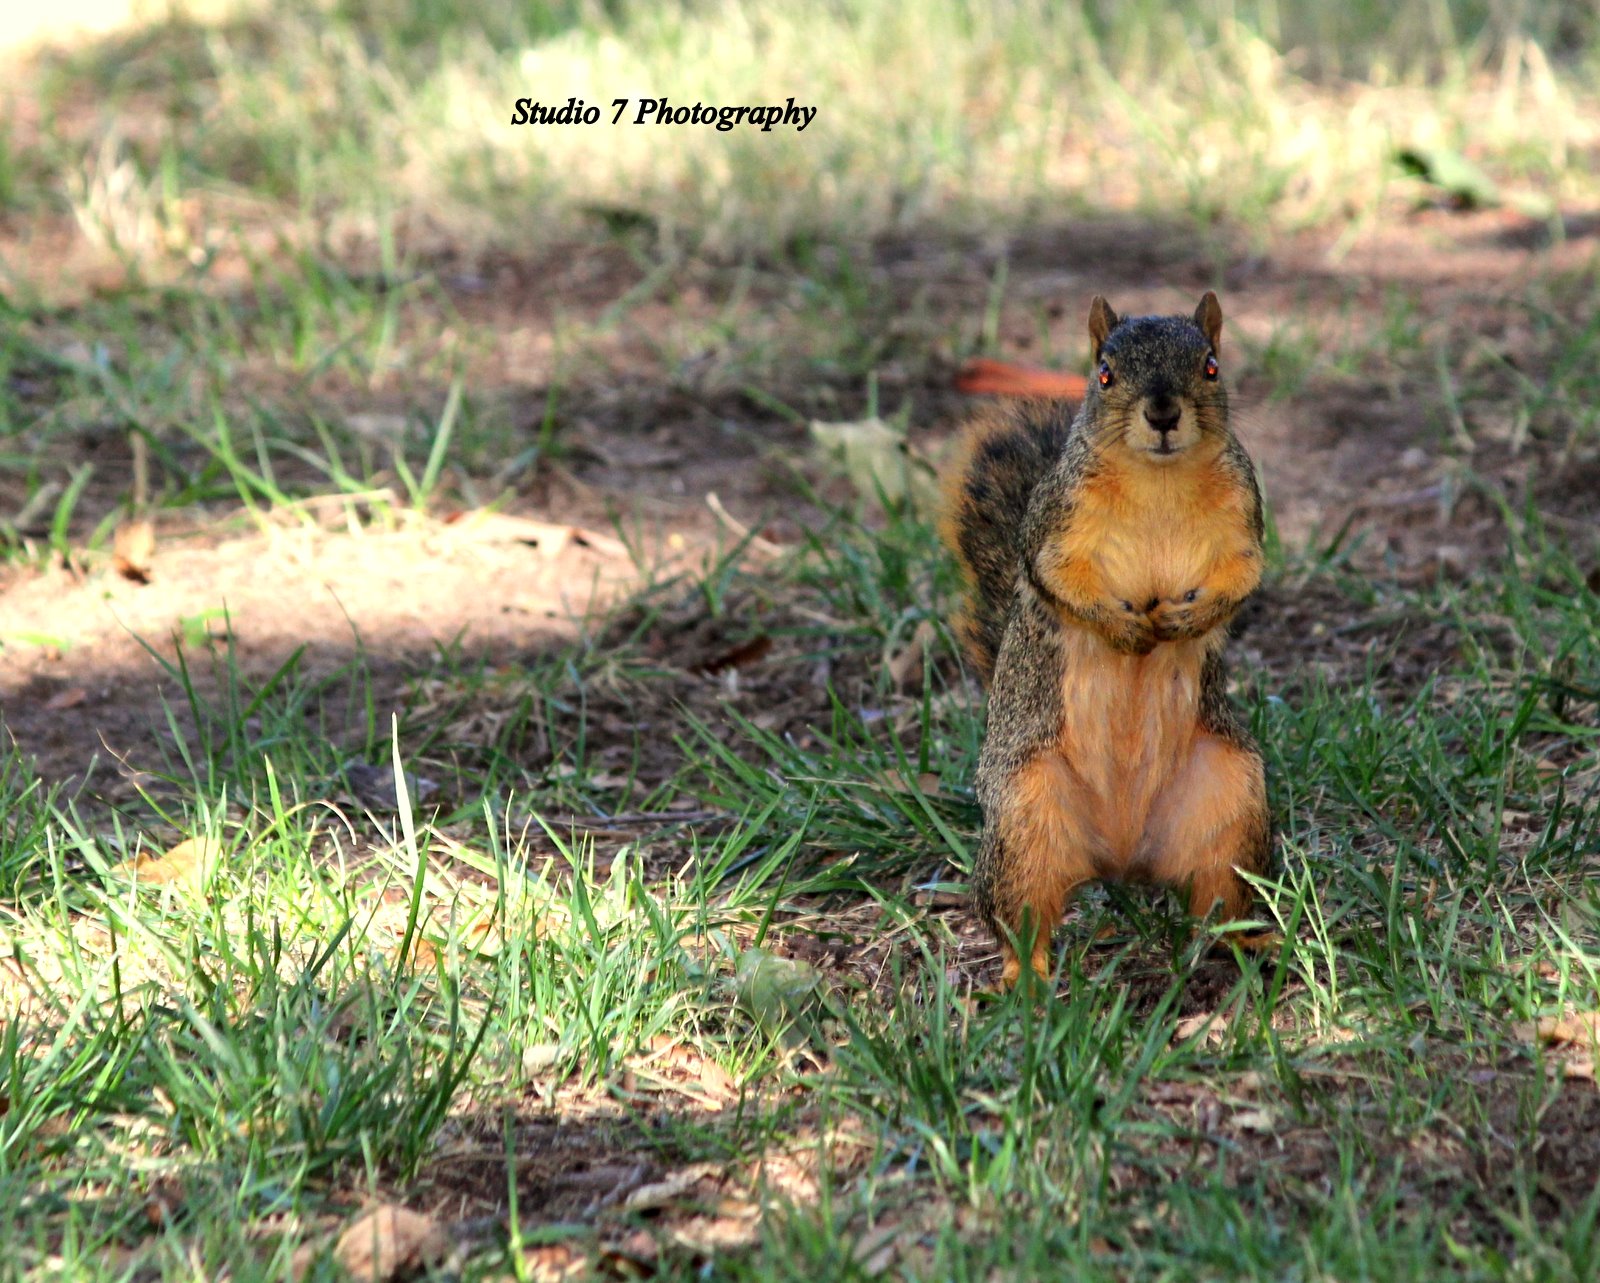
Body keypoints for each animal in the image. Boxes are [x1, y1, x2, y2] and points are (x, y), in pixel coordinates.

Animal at [940, 291, 1271, 987]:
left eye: (1210, 366)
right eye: (1104, 374)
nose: (1163, 413)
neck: (1159, 480)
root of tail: (1122, 858)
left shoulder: (1244, 522)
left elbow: (1243, 577)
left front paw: (1184, 621)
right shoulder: (1056, 526)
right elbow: (1059, 580)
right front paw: (1126, 626)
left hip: (1231, 806)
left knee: (1220, 900)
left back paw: (1249, 942)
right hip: (1023, 819)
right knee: (1021, 916)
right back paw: (1025, 977)